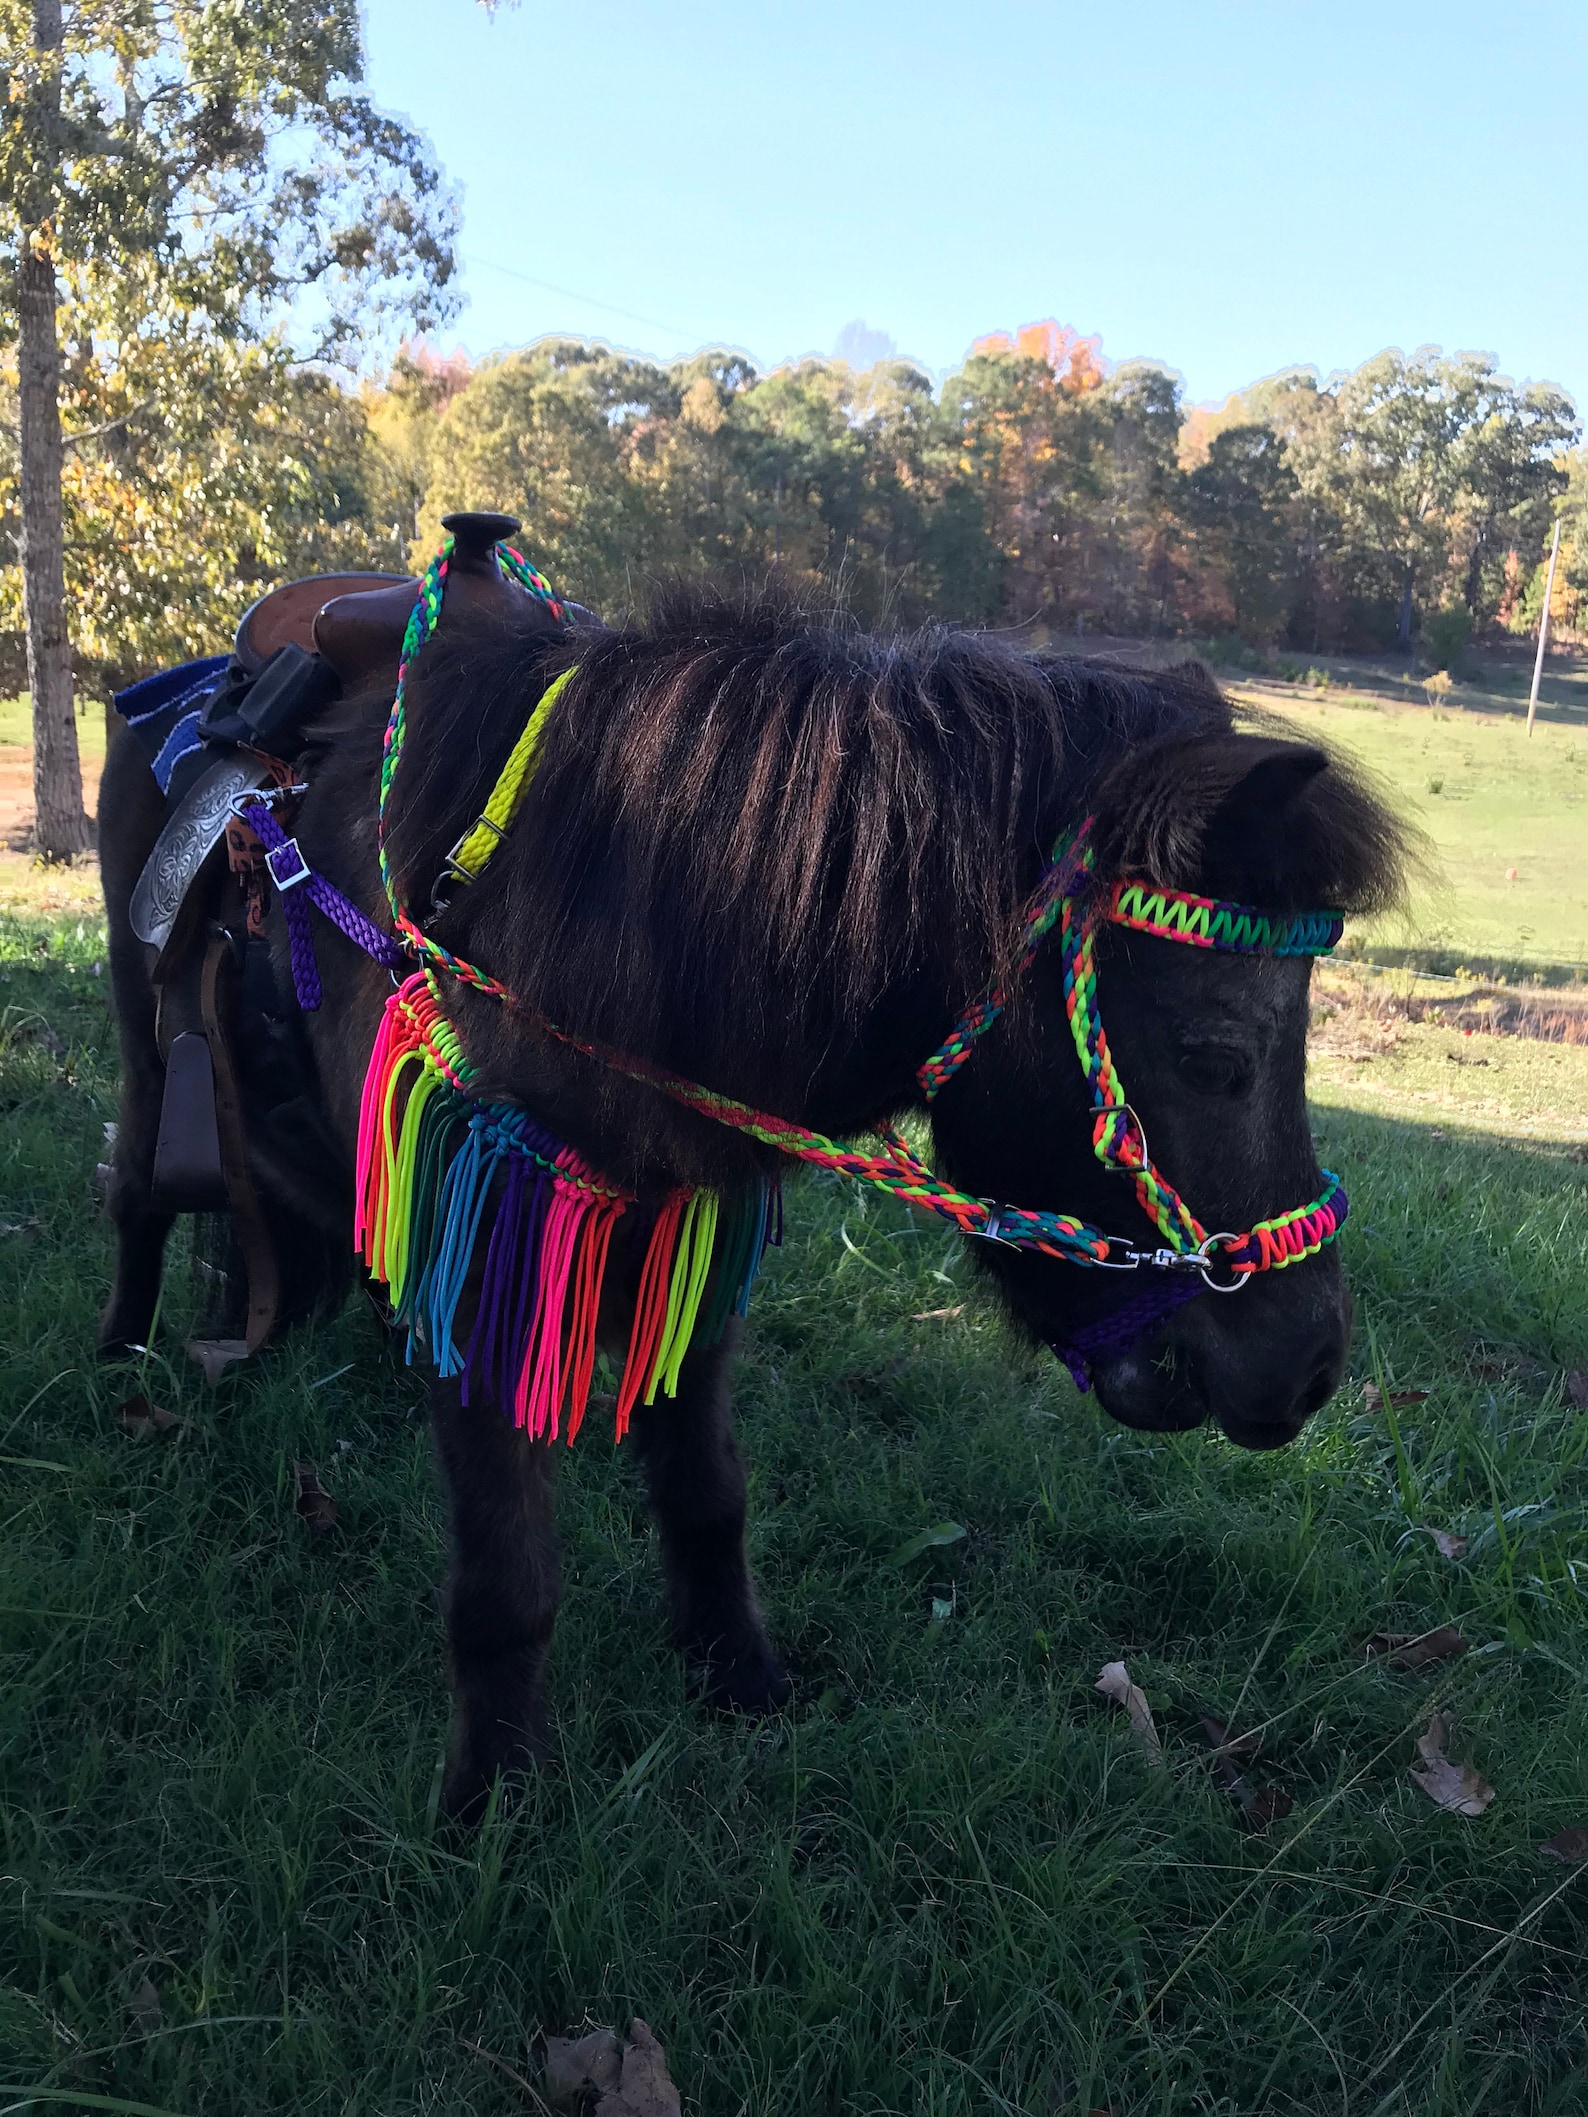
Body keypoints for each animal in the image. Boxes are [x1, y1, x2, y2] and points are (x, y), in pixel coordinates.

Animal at [98, 532, 1405, 1818]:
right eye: (1215, 1052)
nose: (1311, 1364)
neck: (580, 902)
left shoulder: (688, 1226)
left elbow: (705, 1486)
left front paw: (738, 1675)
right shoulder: (493, 1226)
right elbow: (506, 1566)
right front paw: (498, 1792)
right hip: (147, 1044)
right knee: (137, 1200)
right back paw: (120, 1361)